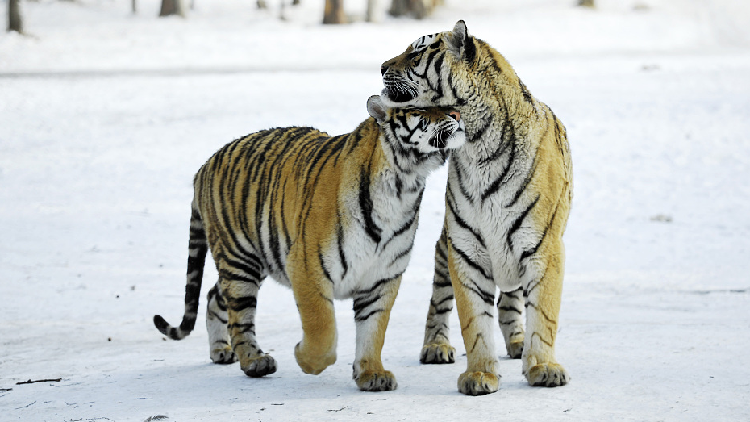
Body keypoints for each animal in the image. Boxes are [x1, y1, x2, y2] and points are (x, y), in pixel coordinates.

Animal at [153, 95, 465, 391]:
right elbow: (322, 327)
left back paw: (220, 350)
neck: (403, 185)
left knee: (213, 297)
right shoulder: (307, 267)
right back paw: (254, 361)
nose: (458, 113)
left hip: (250, 261)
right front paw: (307, 360)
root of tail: (205, 165)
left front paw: (372, 374)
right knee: (239, 317)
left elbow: (373, 330)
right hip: (240, 261)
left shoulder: (382, 277)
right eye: (420, 108)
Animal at [380, 20, 573, 395]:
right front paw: (480, 374)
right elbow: (474, 320)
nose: (381, 67)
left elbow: (543, 313)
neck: (476, 144)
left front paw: (543, 367)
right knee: (439, 300)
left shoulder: (543, 248)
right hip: (445, 247)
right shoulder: (466, 248)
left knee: (511, 301)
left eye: (416, 51)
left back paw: (517, 343)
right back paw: (435, 346)